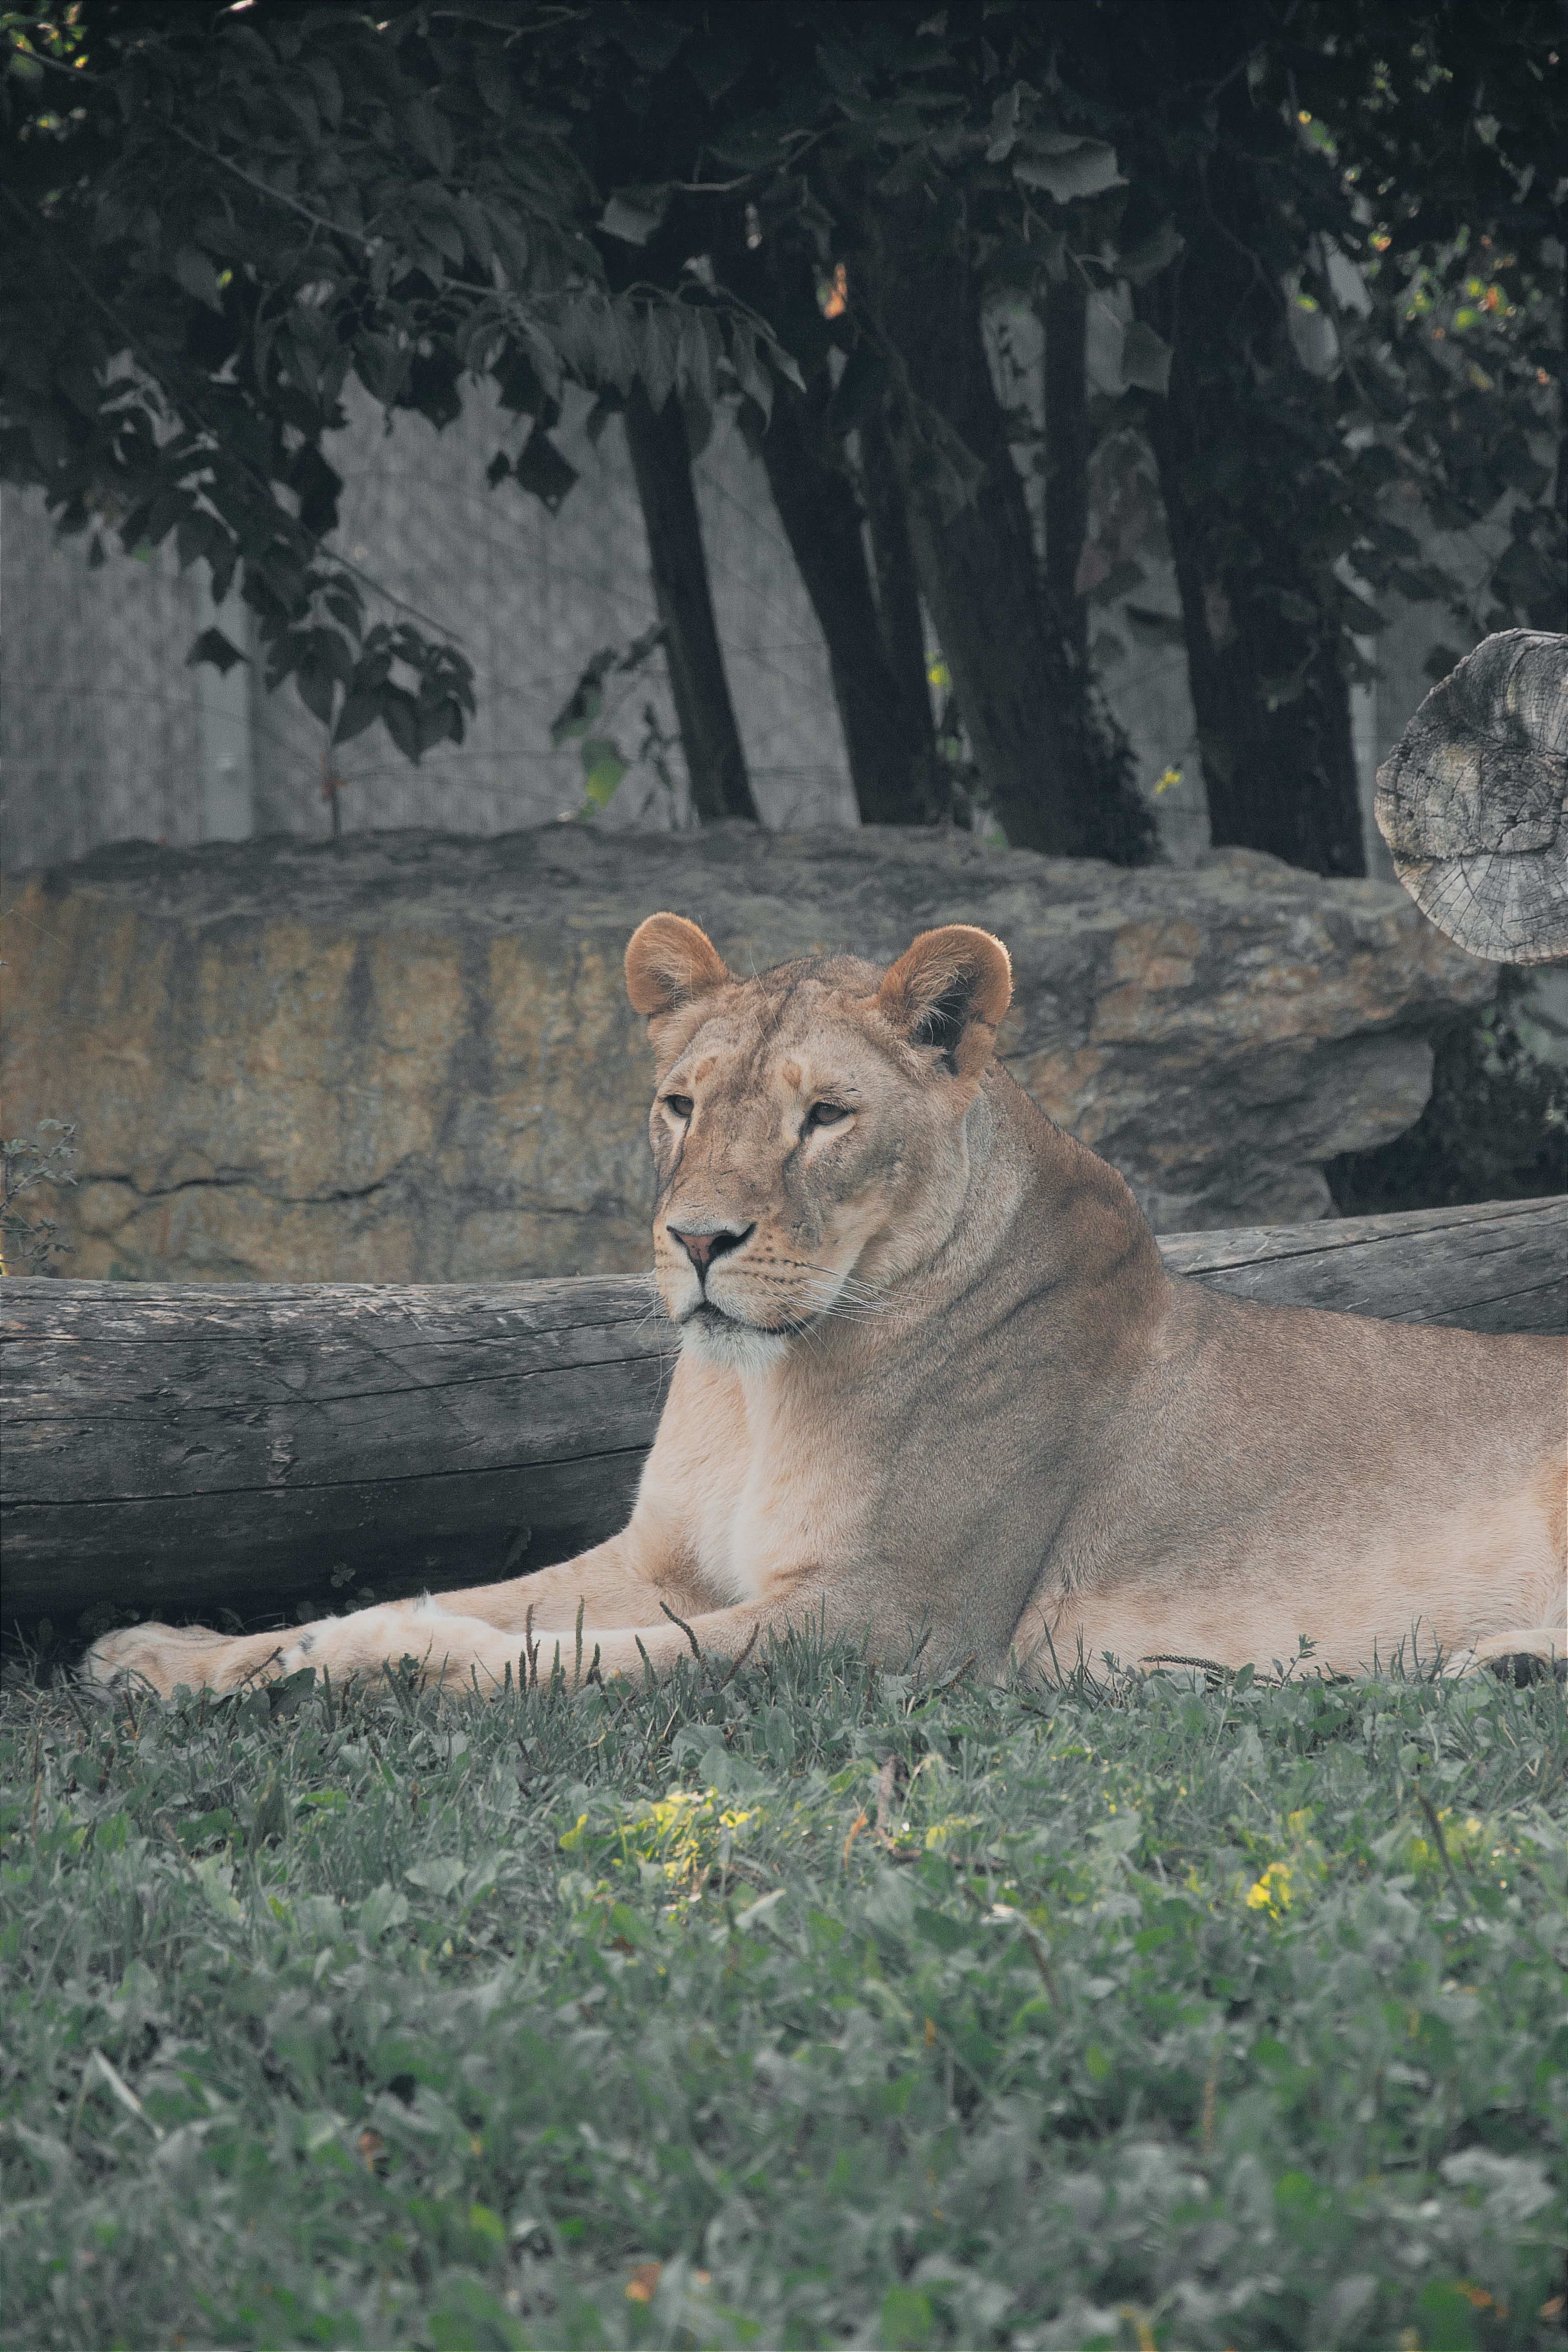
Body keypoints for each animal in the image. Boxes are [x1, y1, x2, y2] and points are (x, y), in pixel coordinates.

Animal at [87, 914, 1566, 1701]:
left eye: (824, 1118)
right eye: (679, 1101)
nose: (696, 1239)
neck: (756, 1389)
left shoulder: (892, 1620)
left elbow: (591, 1658)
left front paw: (391, 1659)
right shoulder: (665, 1559)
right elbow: (484, 1595)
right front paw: (175, 1656)